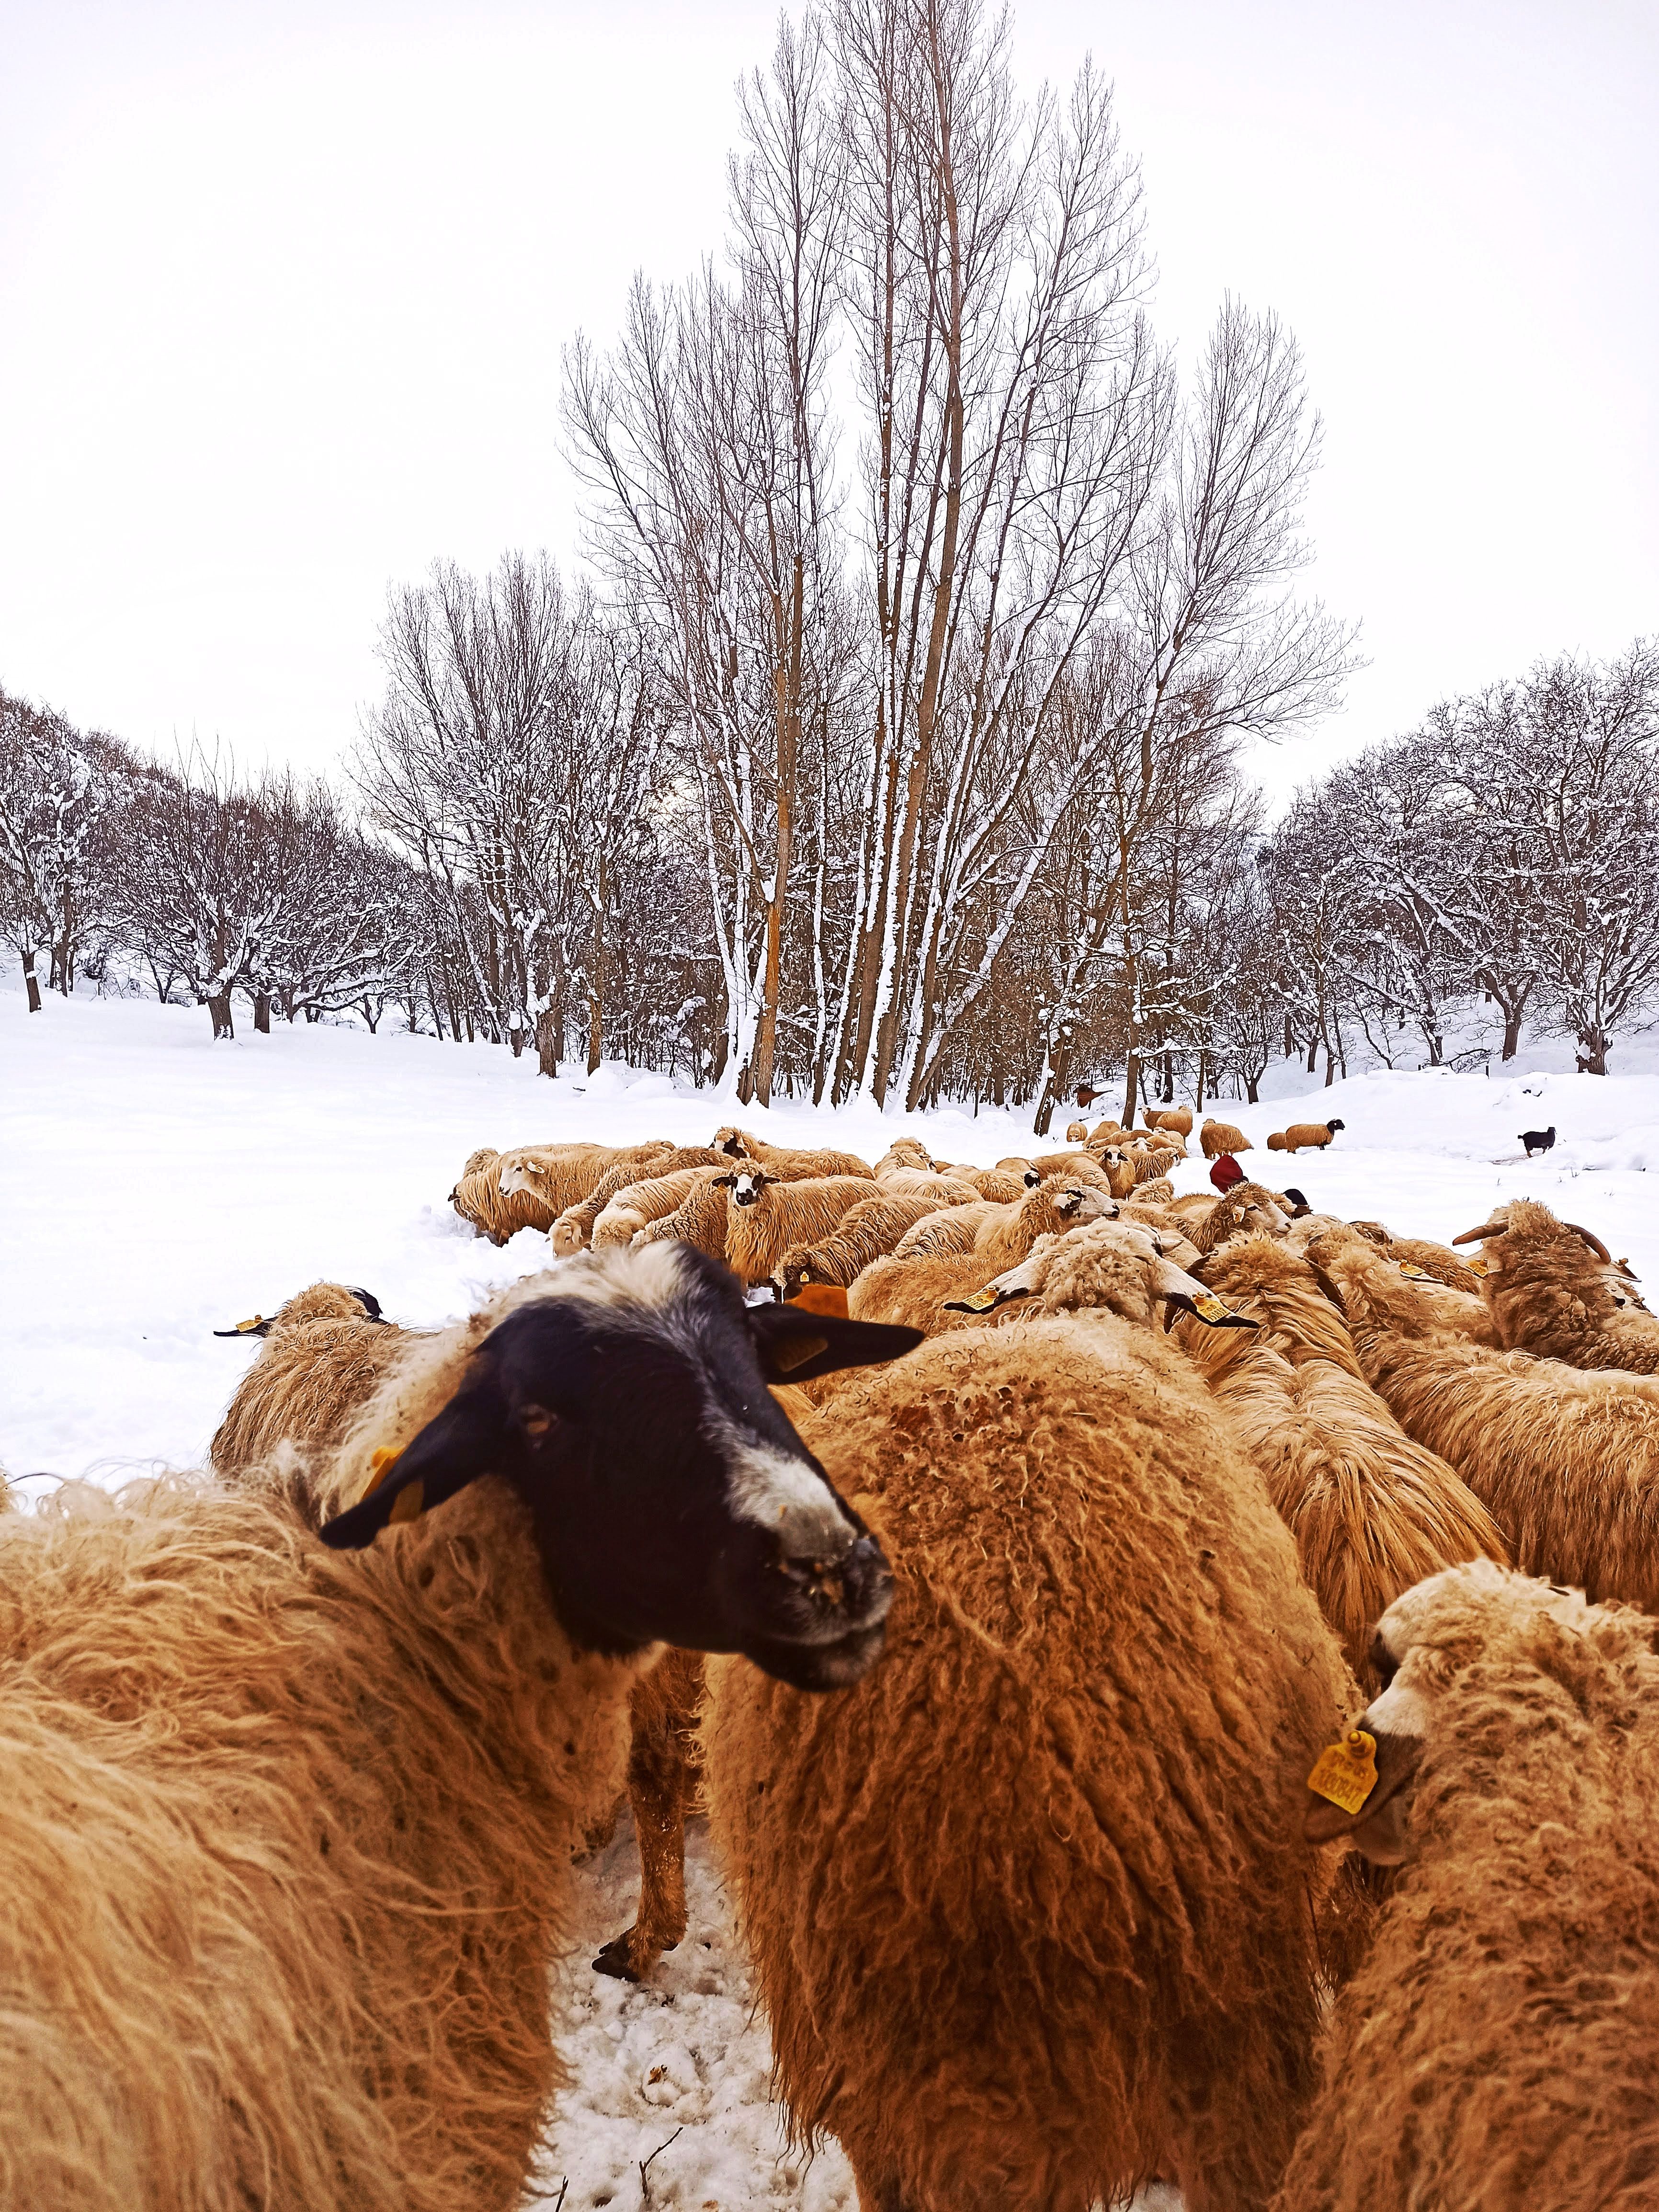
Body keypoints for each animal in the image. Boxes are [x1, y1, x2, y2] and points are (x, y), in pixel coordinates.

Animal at [1266, 1119, 1345, 1153]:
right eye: (1339, 1123)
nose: (1344, 1127)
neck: (1329, 1130)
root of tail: (1287, 1133)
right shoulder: (1321, 1143)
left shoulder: (1320, 1144)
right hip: (1292, 1144)